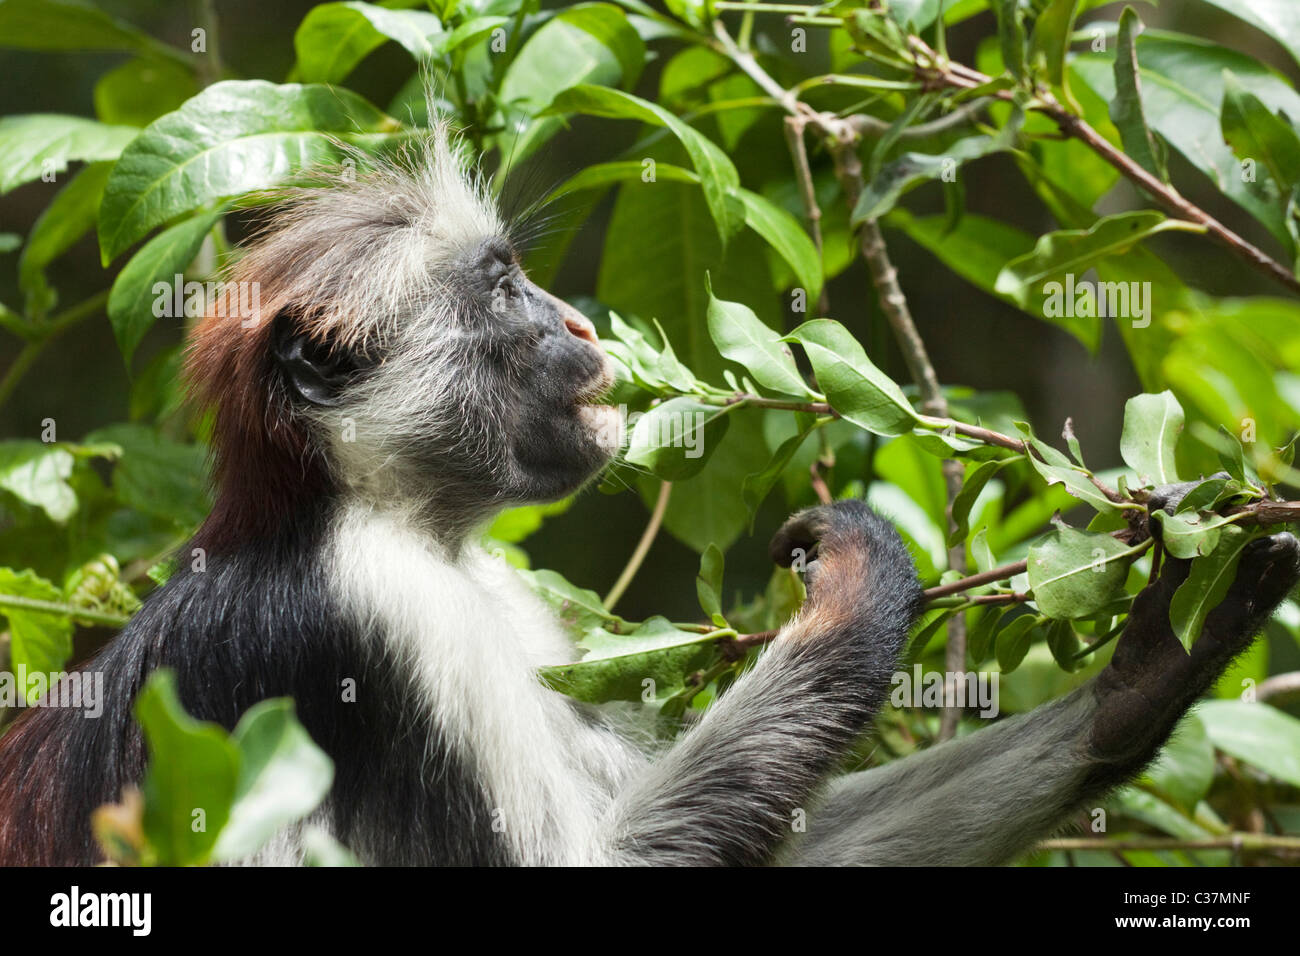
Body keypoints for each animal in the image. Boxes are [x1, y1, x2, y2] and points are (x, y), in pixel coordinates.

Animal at [2, 128, 1300, 868]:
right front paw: (856, 593)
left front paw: (1145, 672)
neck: (367, 513)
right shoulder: (372, 619)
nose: (577, 325)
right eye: (503, 287)